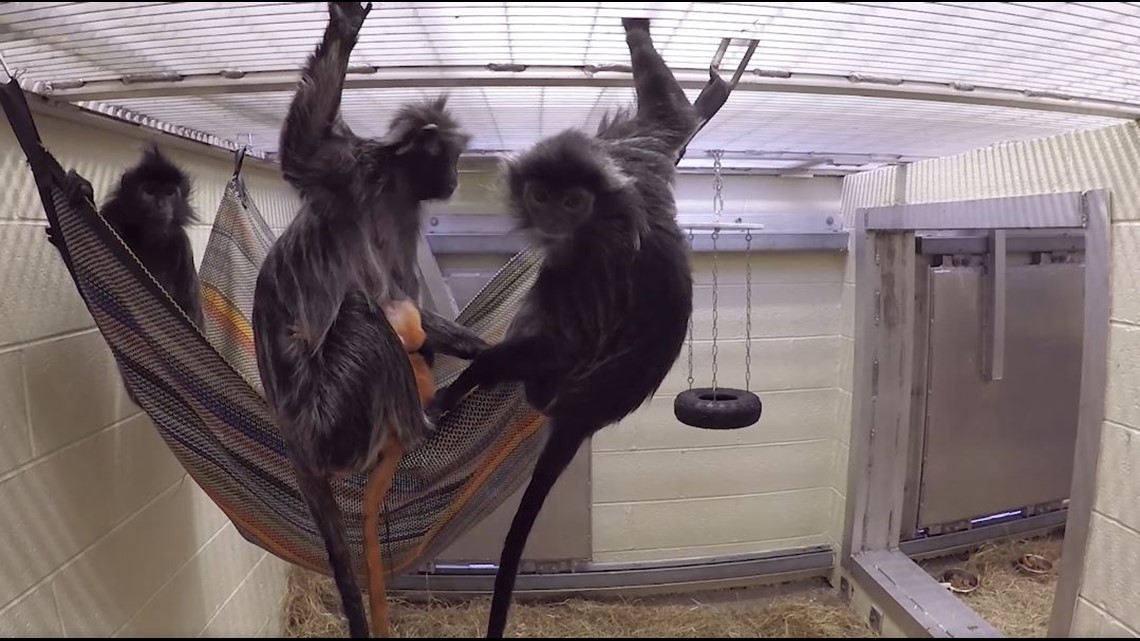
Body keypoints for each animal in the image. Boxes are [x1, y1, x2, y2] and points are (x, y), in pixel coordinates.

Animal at [249, 2, 488, 637]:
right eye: (452, 157)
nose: (456, 177)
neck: (392, 186)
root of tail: (294, 438)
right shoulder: (347, 171)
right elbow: (302, 151)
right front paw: (347, 28)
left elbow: (409, 300)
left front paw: (486, 350)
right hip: (331, 418)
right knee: (359, 317)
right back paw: (427, 417)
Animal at [424, 17, 698, 639]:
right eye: (541, 195)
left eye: (571, 203)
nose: (550, 219)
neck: (605, 208)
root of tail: (586, 415)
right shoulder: (634, 153)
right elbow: (672, 116)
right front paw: (637, 29)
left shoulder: (589, 265)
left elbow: (562, 344)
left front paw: (465, 373)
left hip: (558, 375)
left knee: (539, 354)